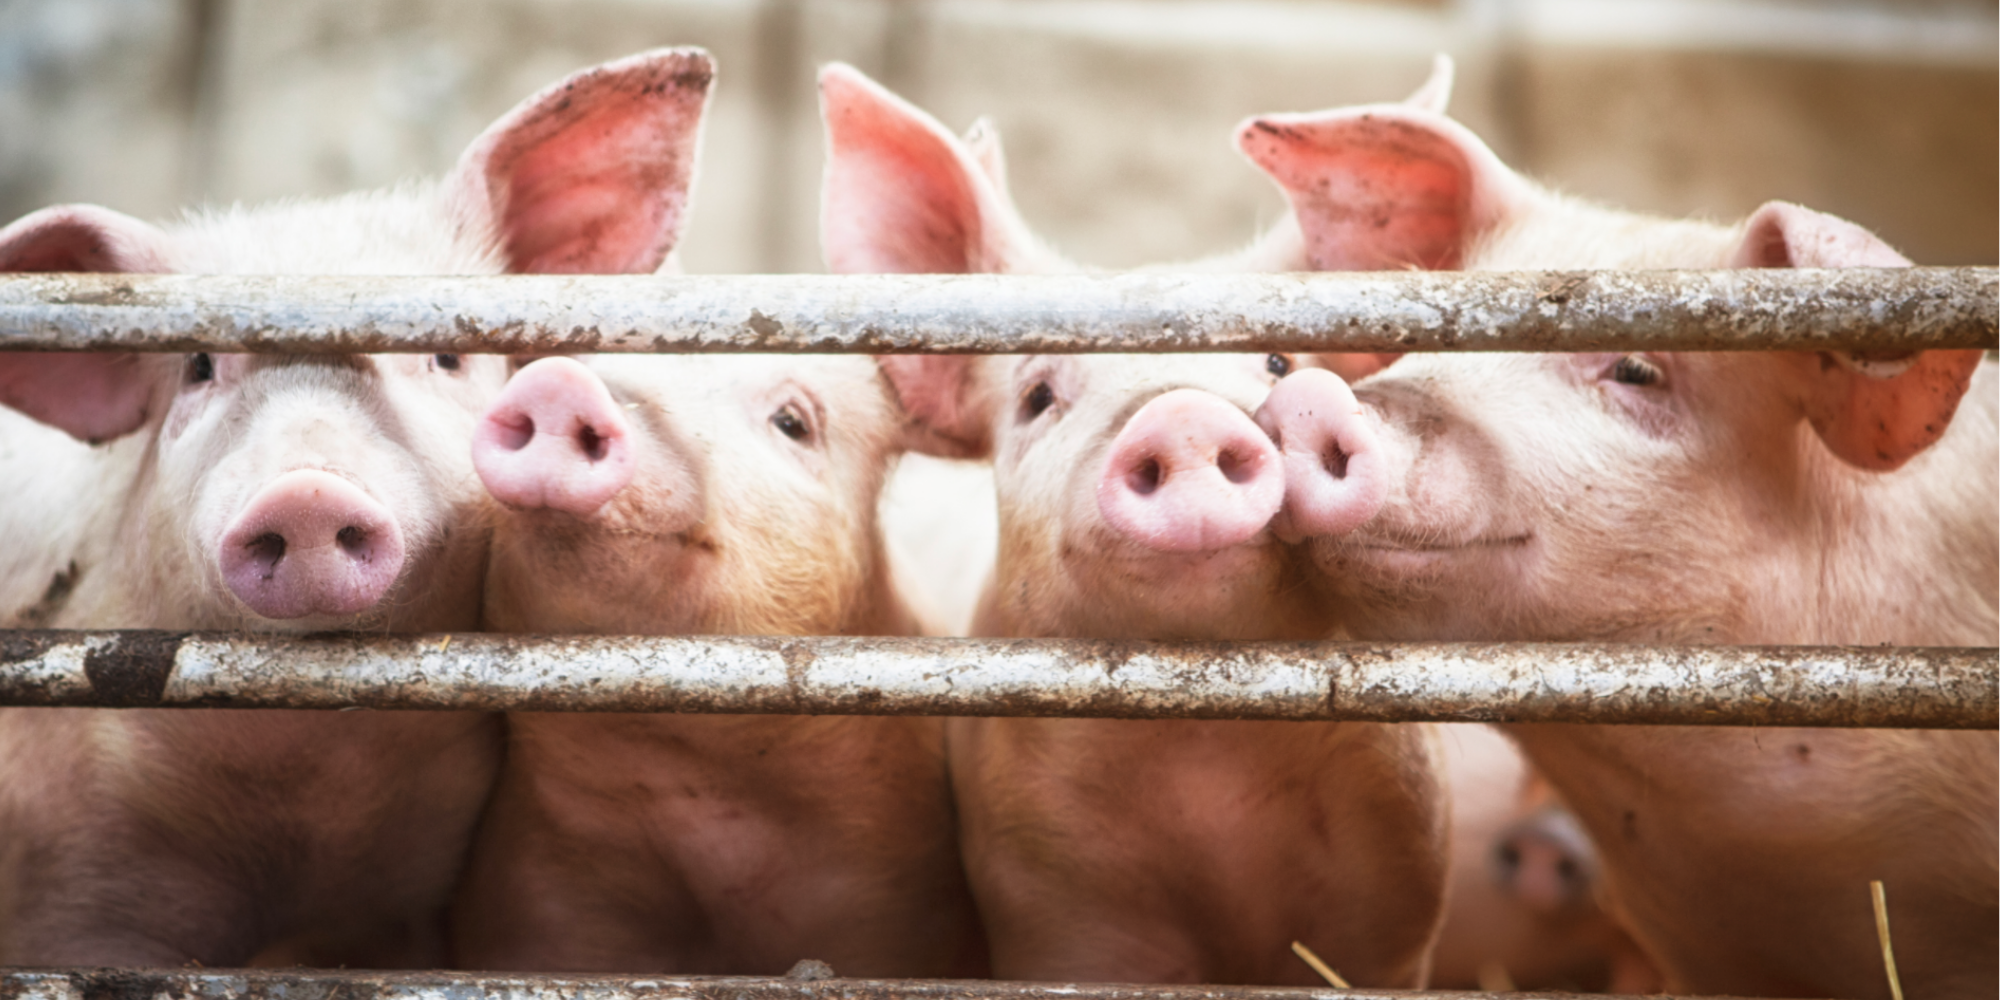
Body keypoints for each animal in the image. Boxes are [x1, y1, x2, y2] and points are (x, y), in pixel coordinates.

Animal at [820, 63, 1446, 987]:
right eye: (1038, 396)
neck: (1203, 756)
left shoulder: (1397, 889)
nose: (1182, 414)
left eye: (1278, 361)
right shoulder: (1052, 898)